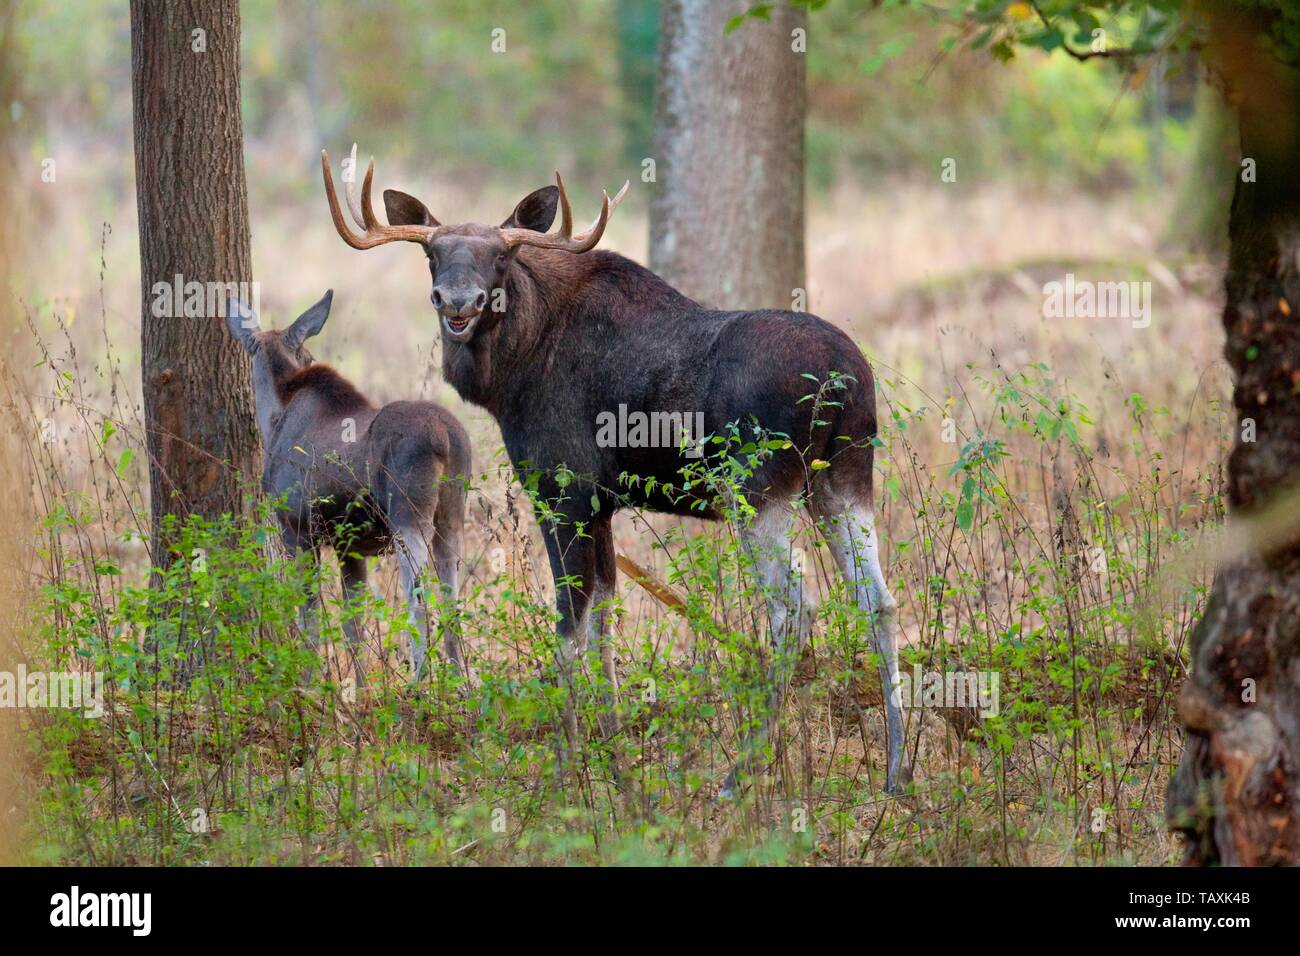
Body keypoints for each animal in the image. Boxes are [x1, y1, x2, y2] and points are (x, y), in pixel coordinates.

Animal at [224, 289, 472, 686]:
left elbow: (309, 620)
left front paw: (311, 687)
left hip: (408, 518)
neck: (274, 417)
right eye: (307, 354)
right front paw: (361, 690)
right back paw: (462, 686)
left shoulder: (297, 531)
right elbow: (354, 626)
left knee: (418, 602)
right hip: (451, 517)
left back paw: (419, 686)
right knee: (453, 600)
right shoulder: (349, 548)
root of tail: (447, 438)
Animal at [321, 149, 906, 795]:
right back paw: (894, 769)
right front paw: (612, 747)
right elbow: (604, 616)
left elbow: (569, 627)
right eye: (432, 254)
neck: (513, 371)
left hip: (759, 487)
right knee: (878, 599)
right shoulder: (602, 504)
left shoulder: (563, 492)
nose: (457, 302)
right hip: (843, 476)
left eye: (500, 257)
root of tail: (842, 375)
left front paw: (566, 762)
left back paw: (740, 772)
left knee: (792, 605)